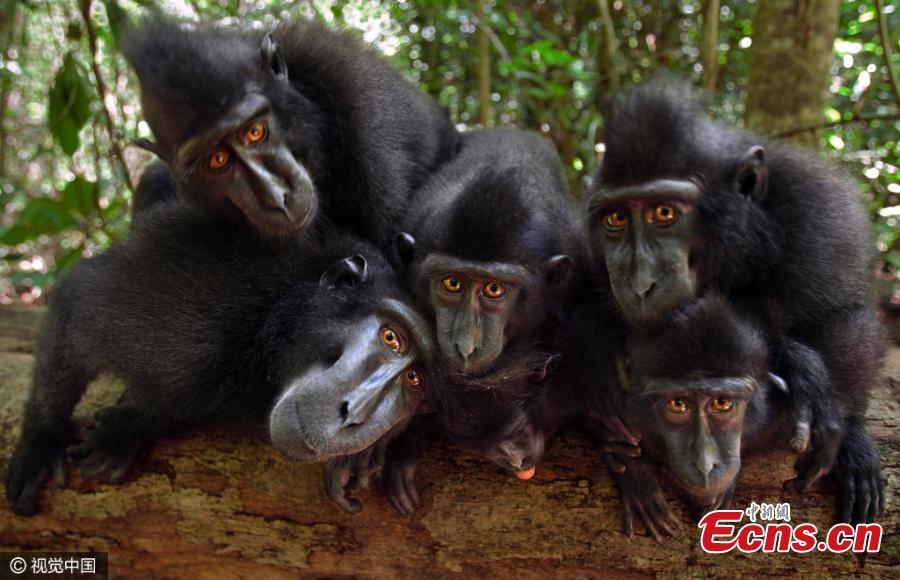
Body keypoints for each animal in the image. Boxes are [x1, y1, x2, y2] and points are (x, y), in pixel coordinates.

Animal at [5, 201, 434, 516]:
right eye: (391, 337)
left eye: (415, 380)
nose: (356, 413)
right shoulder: (195, 319)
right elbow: (78, 305)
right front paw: (42, 438)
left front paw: (132, 424)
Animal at [582, 81, 885, 524]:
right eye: (616, 218)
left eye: (664, 212)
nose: (638, 283)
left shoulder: (816, 221)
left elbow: (840, 320)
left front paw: (808, 378)